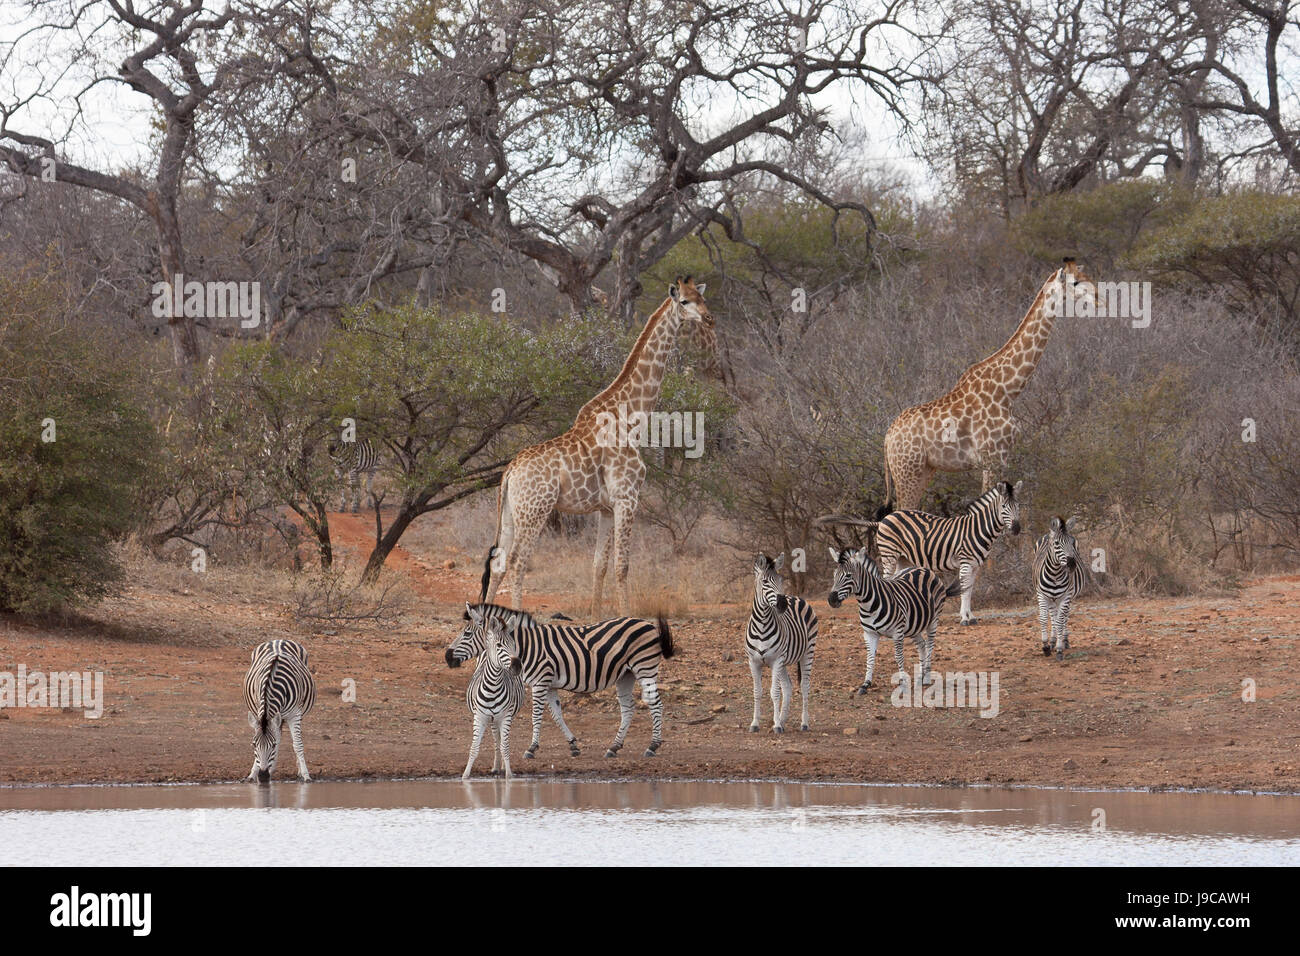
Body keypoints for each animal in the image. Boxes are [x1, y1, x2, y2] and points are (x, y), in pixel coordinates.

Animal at [483, 277, 720, 614]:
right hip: (535, 511)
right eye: (685, 301)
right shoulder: (627, 498)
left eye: (702, 298)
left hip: (510, 513)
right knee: (517, 563)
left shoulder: (606, 508)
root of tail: (509, 472)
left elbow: (599, 566)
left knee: (499, 563)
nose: (710, 319)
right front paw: (628, 617)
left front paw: (597, 619)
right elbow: (622, 566)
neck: (632, 417)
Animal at [881, 259, 1095, 512]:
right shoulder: (992, 457)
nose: (1096, 294)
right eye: (1075, 282)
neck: (1008, 389)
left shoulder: (1003, 457)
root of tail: (887, 438)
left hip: (924, 470)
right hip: (907, 471)